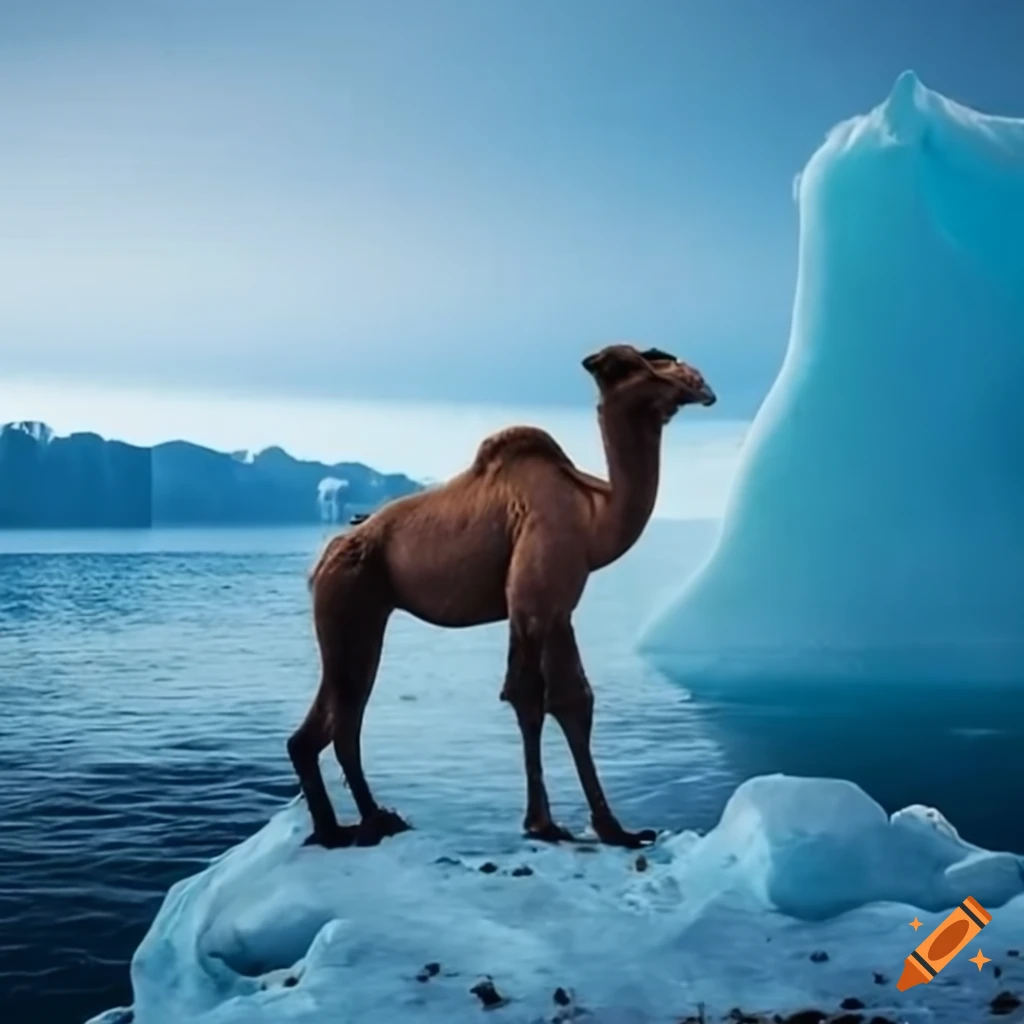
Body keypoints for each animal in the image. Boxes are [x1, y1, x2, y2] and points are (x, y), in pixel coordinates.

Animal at [289, 343, 716, 850]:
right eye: (633, 364)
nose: (698, 382)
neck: (595, 516)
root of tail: (321, 564)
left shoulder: (559, 607)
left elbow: (573, 700)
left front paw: (616, 828)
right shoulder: (534, 597)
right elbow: (531, 694)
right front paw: (547, 824)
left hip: (360, 614)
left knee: (324, 722)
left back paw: (340, 828)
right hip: (350, 601)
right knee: (345, 718)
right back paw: (370, 823)